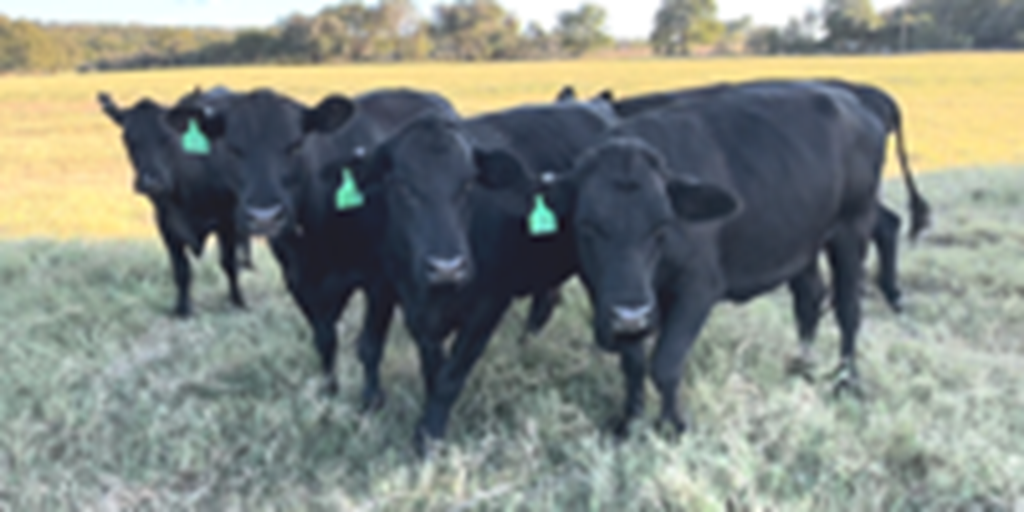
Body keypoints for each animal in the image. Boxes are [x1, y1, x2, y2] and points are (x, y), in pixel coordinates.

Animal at [98, 87, 250, 318]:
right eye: (127, 139)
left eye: (166, 137)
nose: (150, 181)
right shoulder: (166, 224)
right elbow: (181, 269)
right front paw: (182, 308)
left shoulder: (227, 221)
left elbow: (228, 263)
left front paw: (238, 301)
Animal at [165, 88, 454, 409]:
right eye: (233, 148)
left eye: (295, 146)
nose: (265, 216)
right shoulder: (298, 281)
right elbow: (324, 340)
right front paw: (329, 389)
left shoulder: (380, 280)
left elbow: (369, 345)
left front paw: (371, 399)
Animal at [346, 100, 616, 453]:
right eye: (402, 185)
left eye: (468, 185)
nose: (446, 266)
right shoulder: (403, 299)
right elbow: (430, 368)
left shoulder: (488, 306)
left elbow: (449, 377)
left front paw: (428, 439)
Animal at [542, 81, 930, 437]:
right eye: (586, 226)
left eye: (662, 226)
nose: (630, 316)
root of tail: (857, 102)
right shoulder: (614, 297)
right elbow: (634, 363)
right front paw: (630, 422)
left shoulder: (698, 288)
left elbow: (665, 362)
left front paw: (673, 426)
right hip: (802, 239)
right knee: (809, 298)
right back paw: (802, 366)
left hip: (852, 229)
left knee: (849, 308)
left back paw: (846, 380)